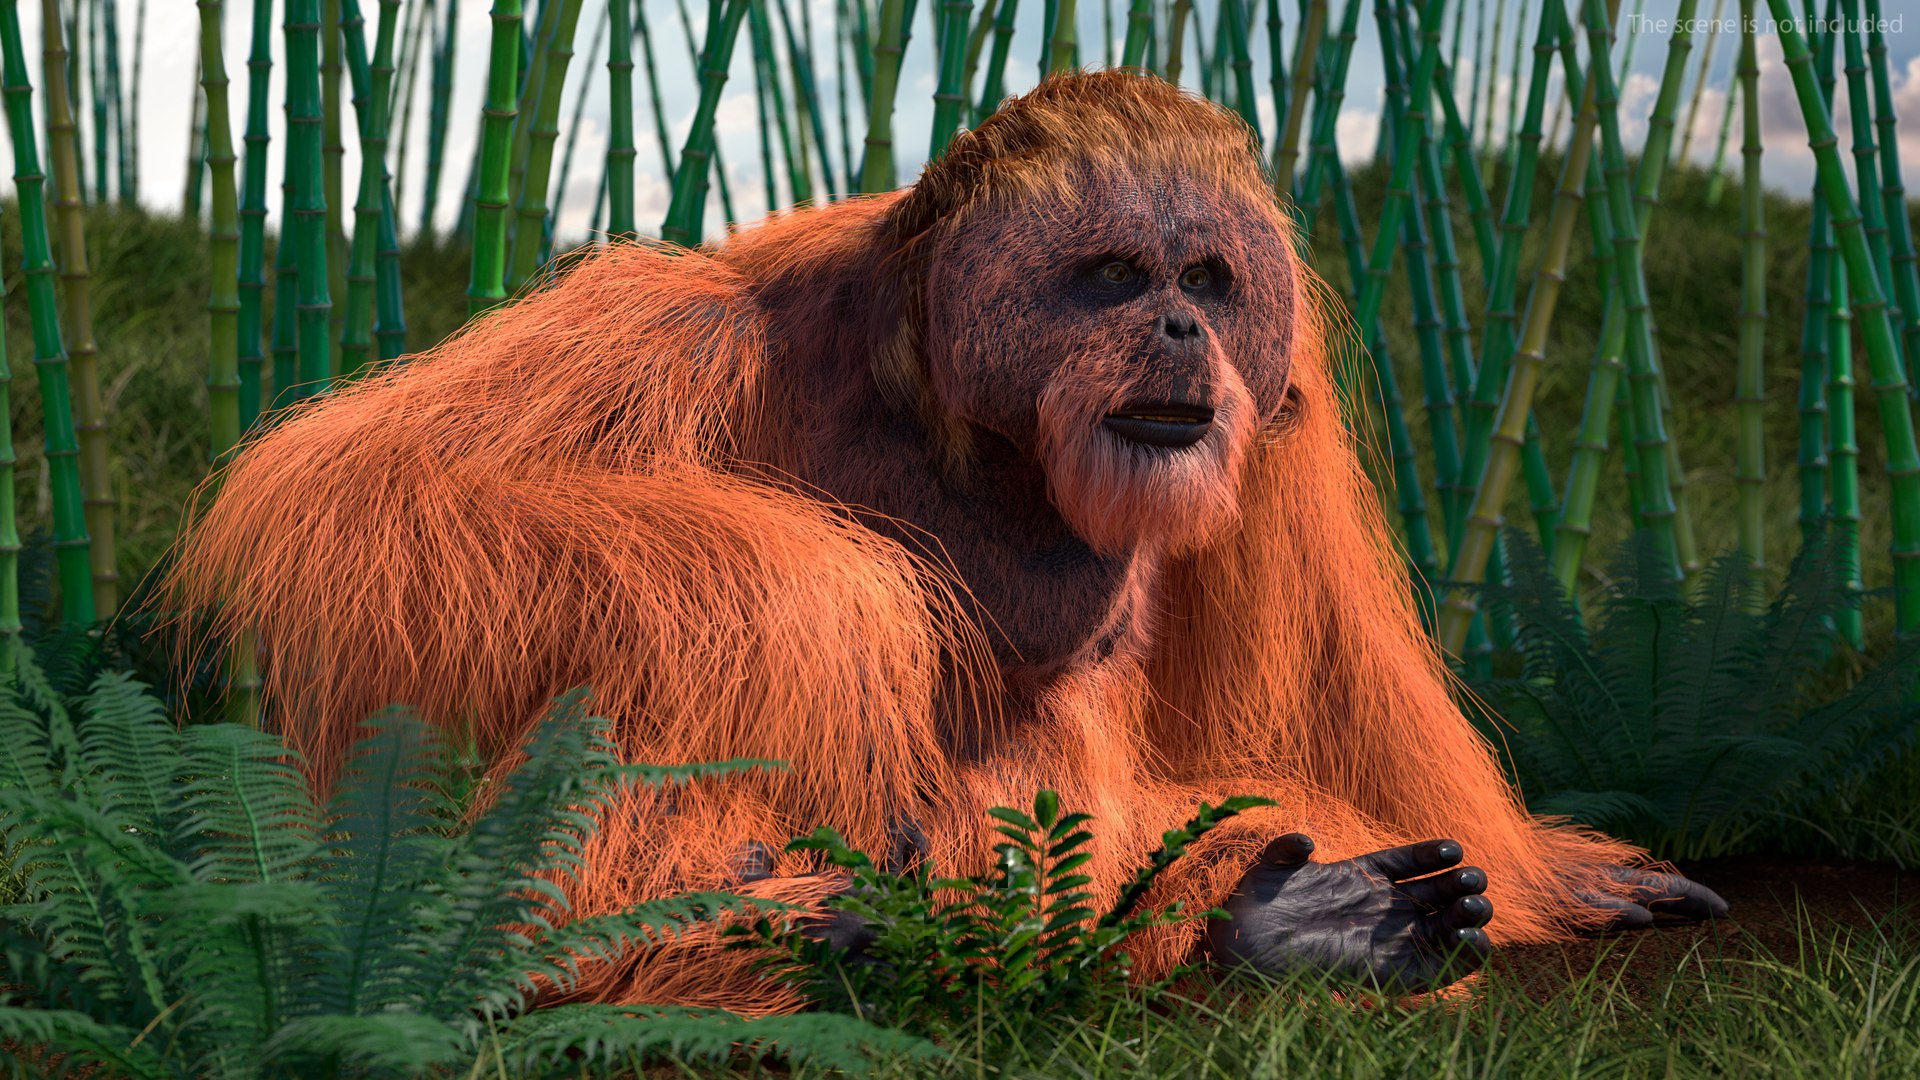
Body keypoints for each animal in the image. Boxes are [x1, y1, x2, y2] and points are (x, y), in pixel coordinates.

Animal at [170, 70, 1725, 1010]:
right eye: (1112, 275)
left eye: (1206, 278)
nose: (1180, 328)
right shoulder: (684, 326)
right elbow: (373, 477)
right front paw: (827, 597)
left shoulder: (1280, 432)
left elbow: (1338, 715)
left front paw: (1542, 875)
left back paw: (1282, 925)